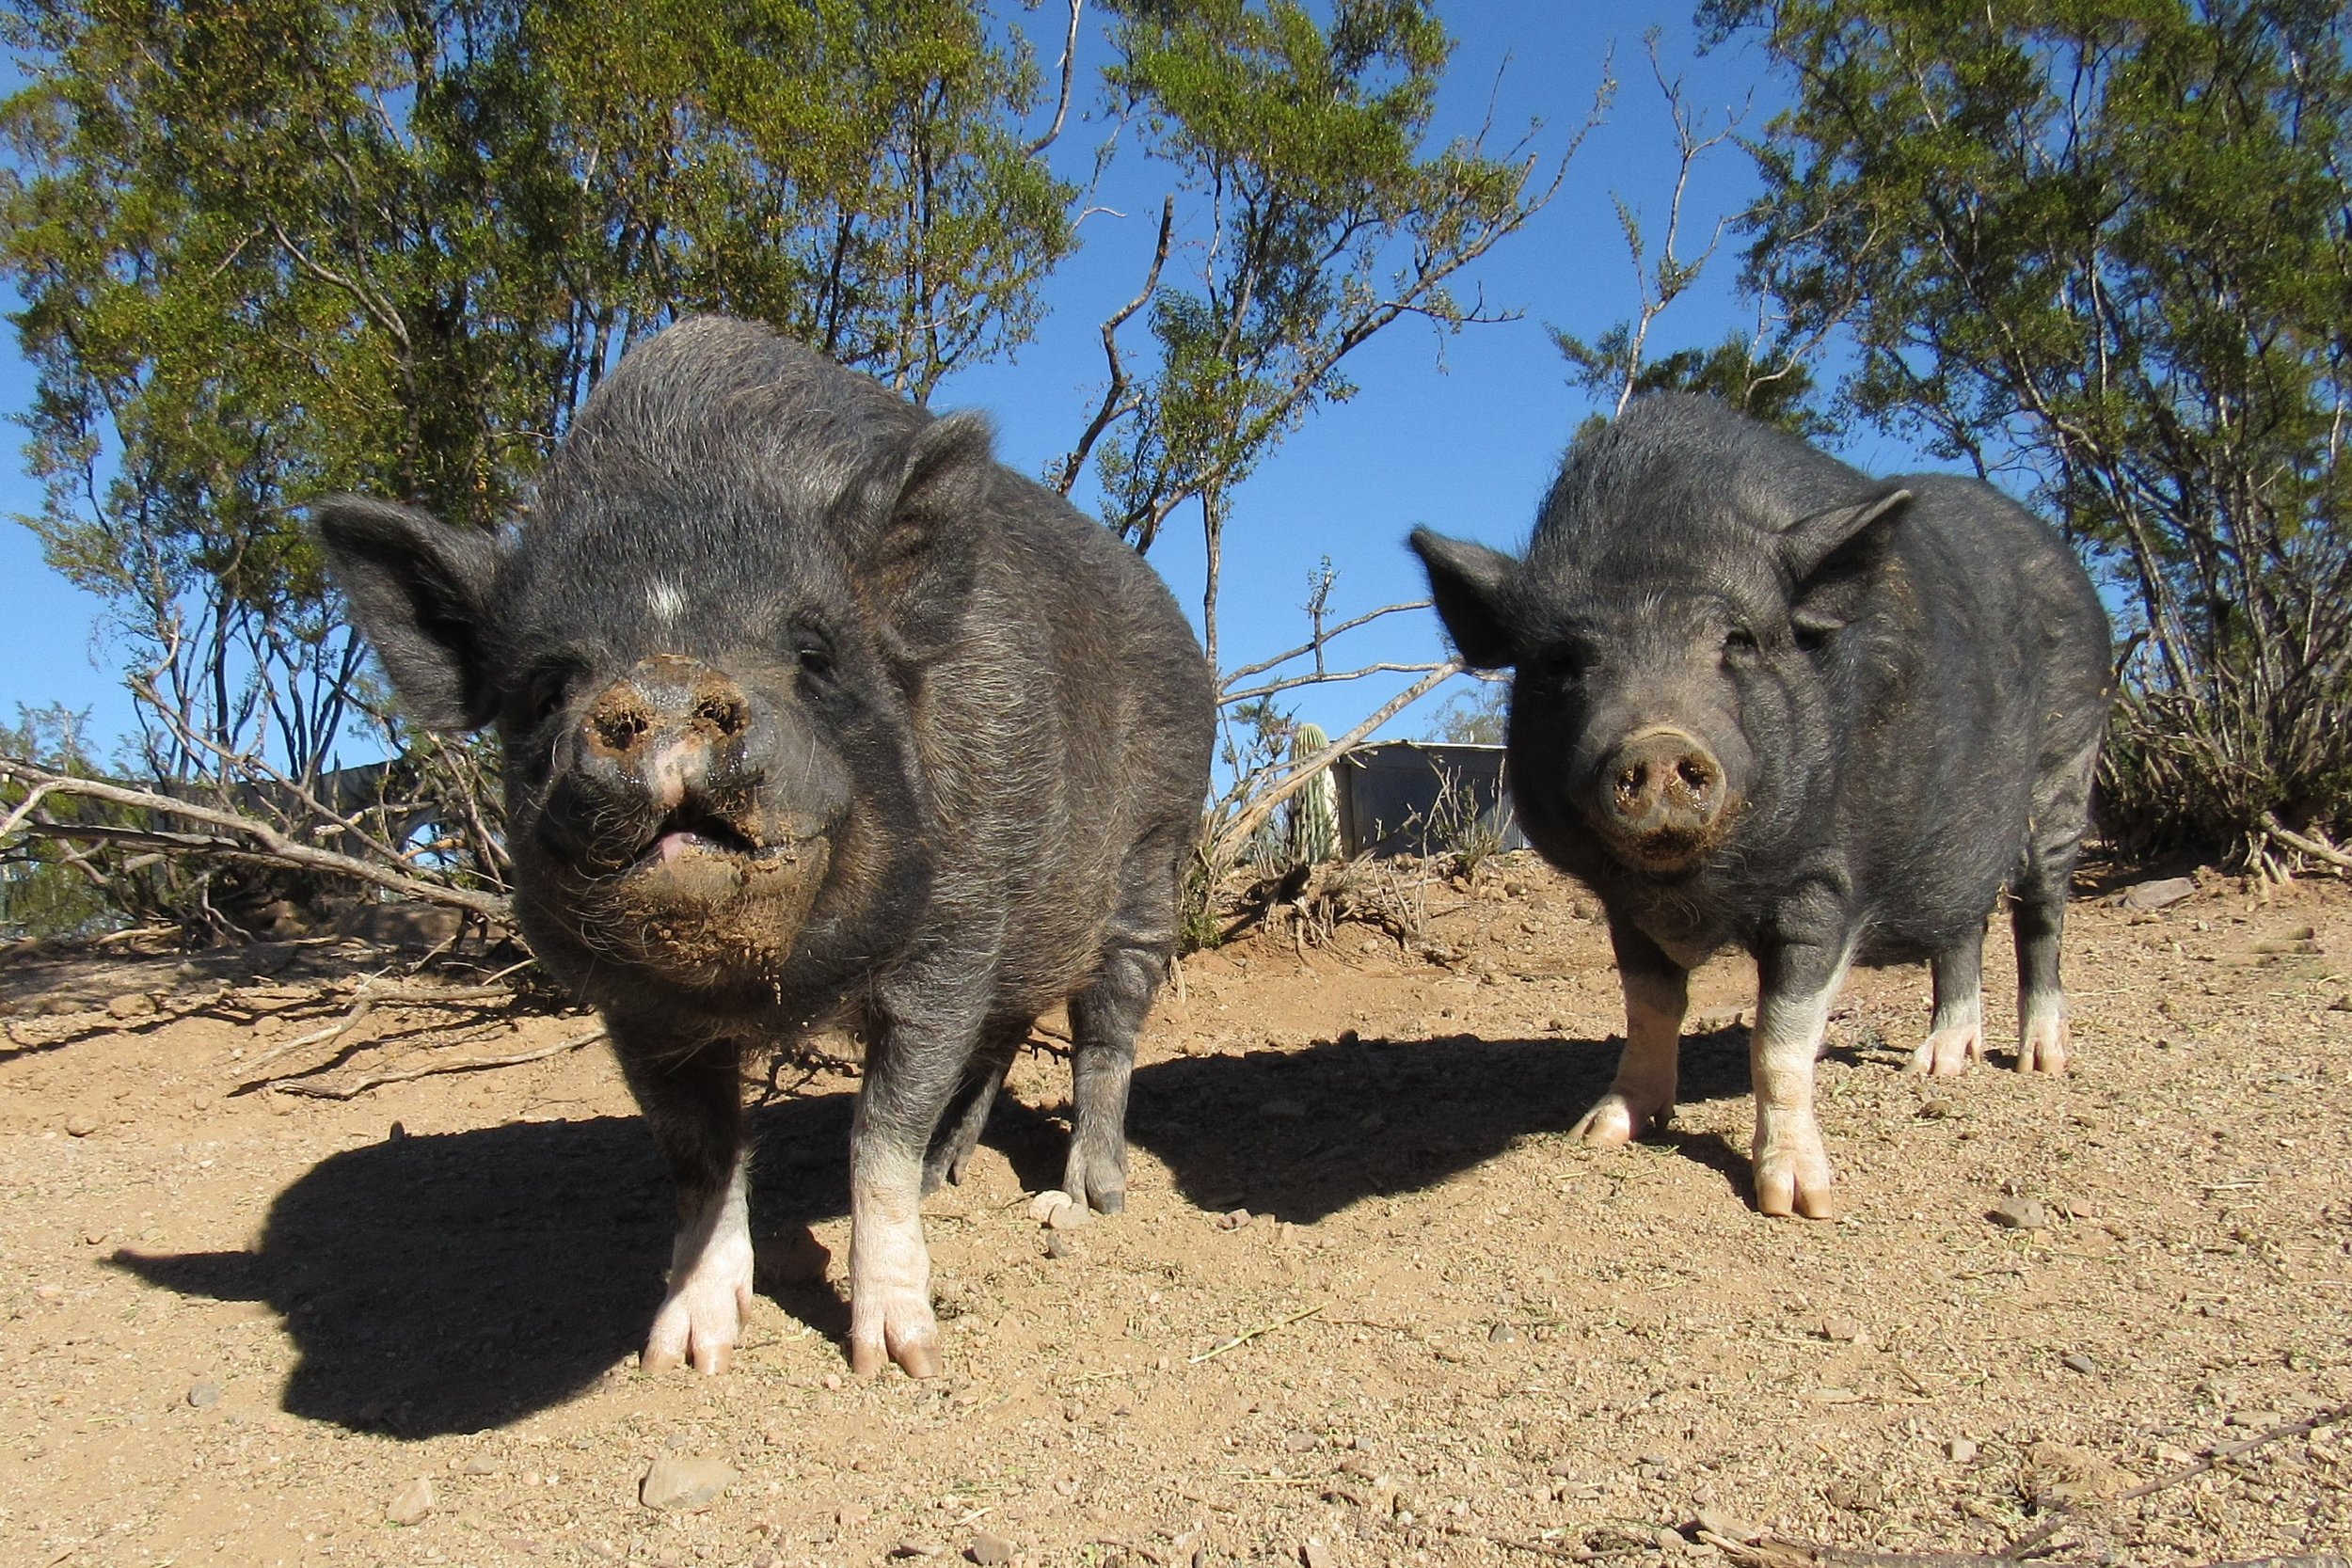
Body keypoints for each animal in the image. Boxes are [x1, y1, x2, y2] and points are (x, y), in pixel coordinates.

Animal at [317, 316, 1215, 1376]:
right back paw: (951, 1173)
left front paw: (897, 1359)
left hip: (1157, 846)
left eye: (816, 652)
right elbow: (699, 1154)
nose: (663, 686)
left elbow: (878, 1136)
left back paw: (1089, 1198)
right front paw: (683, 1356)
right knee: (1000, 1035)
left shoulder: (955, 926)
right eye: (544, 687)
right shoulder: (635, 1009)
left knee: (1105, 1024)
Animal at [1409, 394, 2110, 1218]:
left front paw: (1798, 1203)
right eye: (1561, 661)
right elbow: (1648, 1007)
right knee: (1962, 926)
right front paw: (1599, 1131)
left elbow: (1778, 1036)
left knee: (2041, 910)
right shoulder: (1623, 905)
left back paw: (2040, 1061)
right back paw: (1938, 1064)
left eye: (1739, 640)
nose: (1656, 740)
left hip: (2070, 759)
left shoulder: (1827, 879)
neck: (1699, 890)